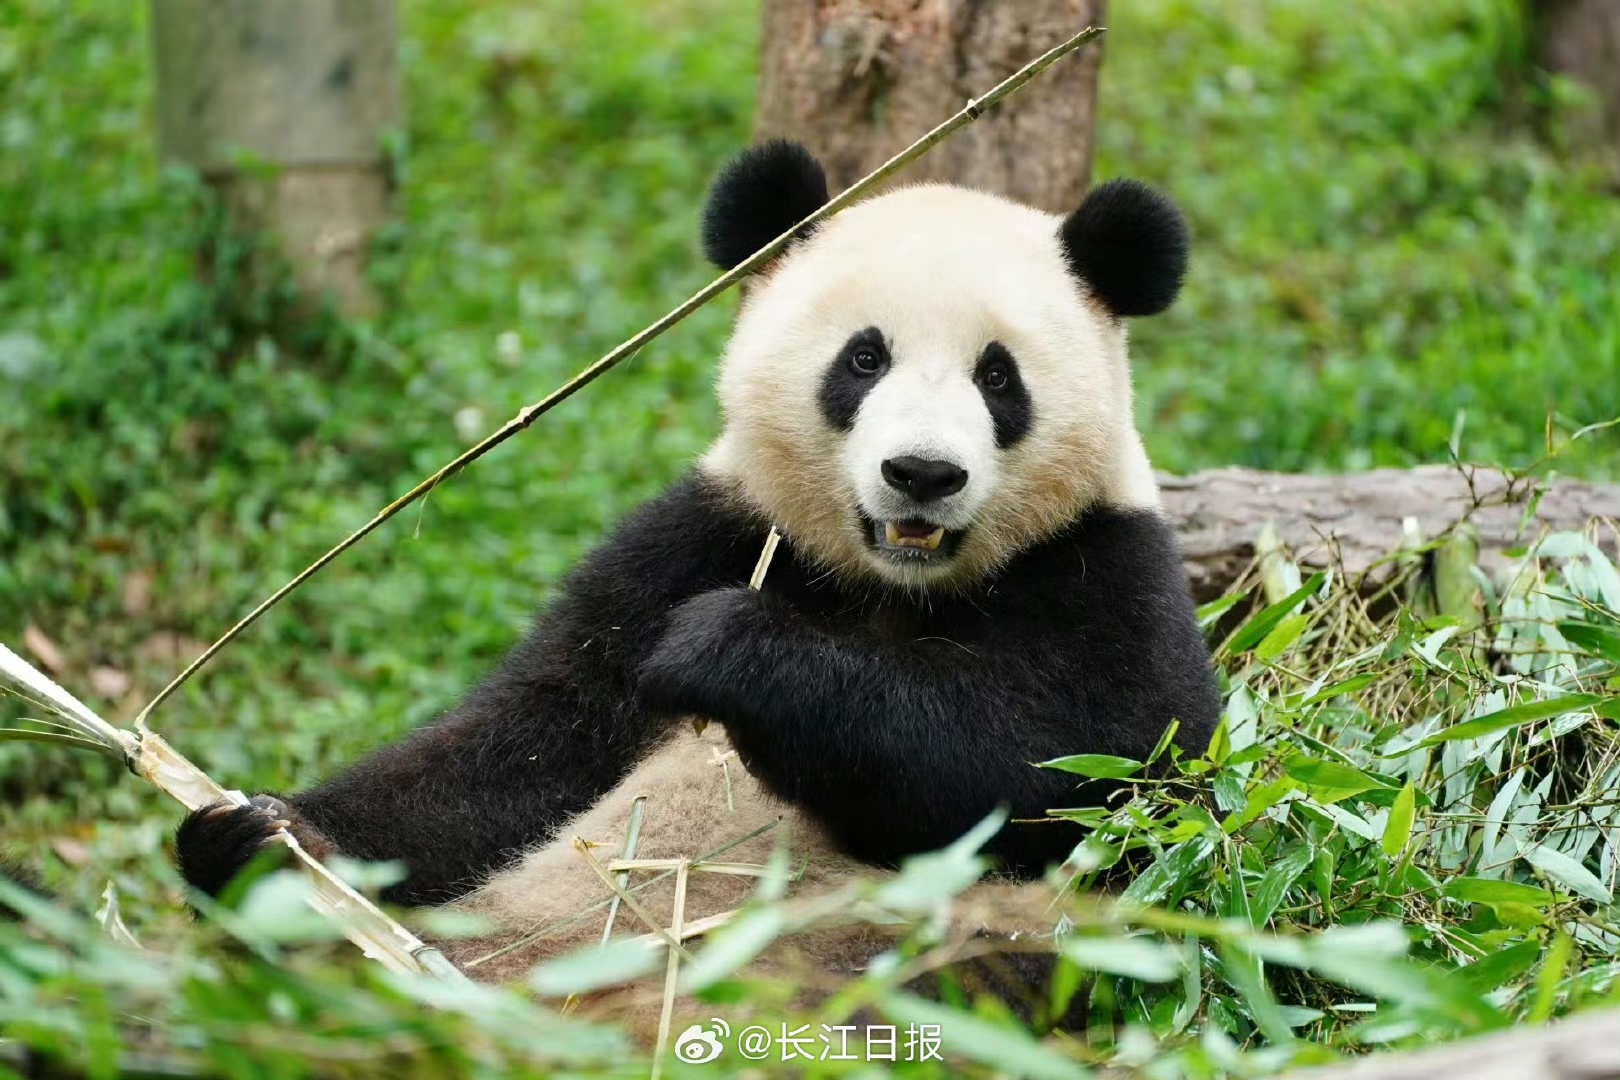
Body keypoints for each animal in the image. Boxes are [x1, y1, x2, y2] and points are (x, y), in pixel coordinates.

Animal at [175, 140, 1221, 1007]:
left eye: (999, 378)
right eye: (863, 359)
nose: (922, 474)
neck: (889, 586)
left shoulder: (1106, 572)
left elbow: (1082, 774)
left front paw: (733, 651)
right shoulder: (705, 534)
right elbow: (519, 747)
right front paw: (257, 841)